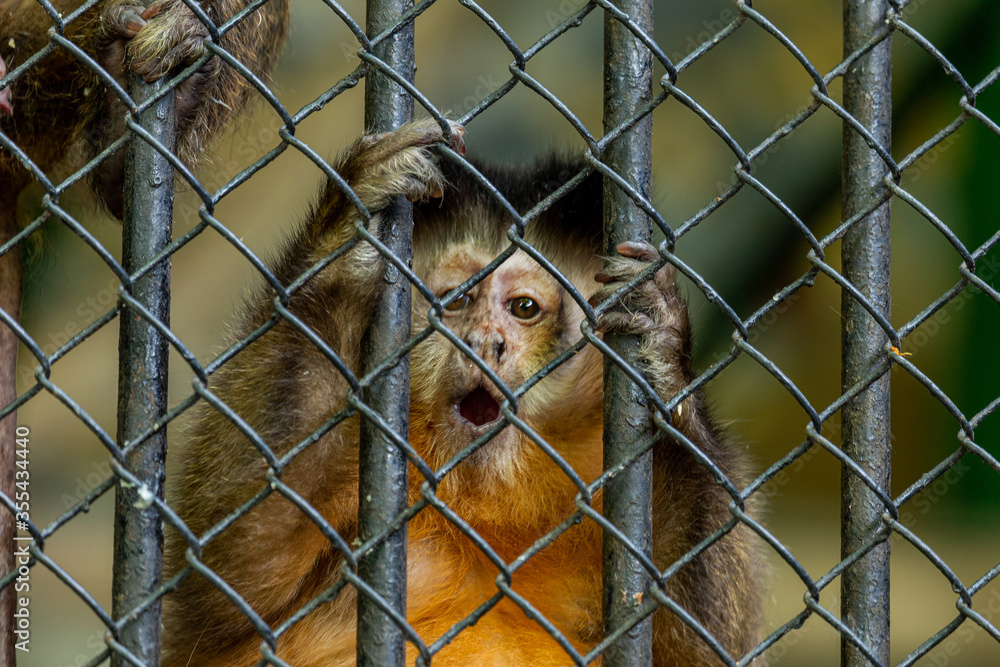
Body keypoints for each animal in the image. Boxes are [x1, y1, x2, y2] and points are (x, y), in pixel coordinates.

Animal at [162, 118, 762, 666]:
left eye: (524, 308)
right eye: (457, 300)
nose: (483, 343)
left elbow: (702, 655)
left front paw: (662, 360)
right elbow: (227, 585)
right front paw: (349, 243)